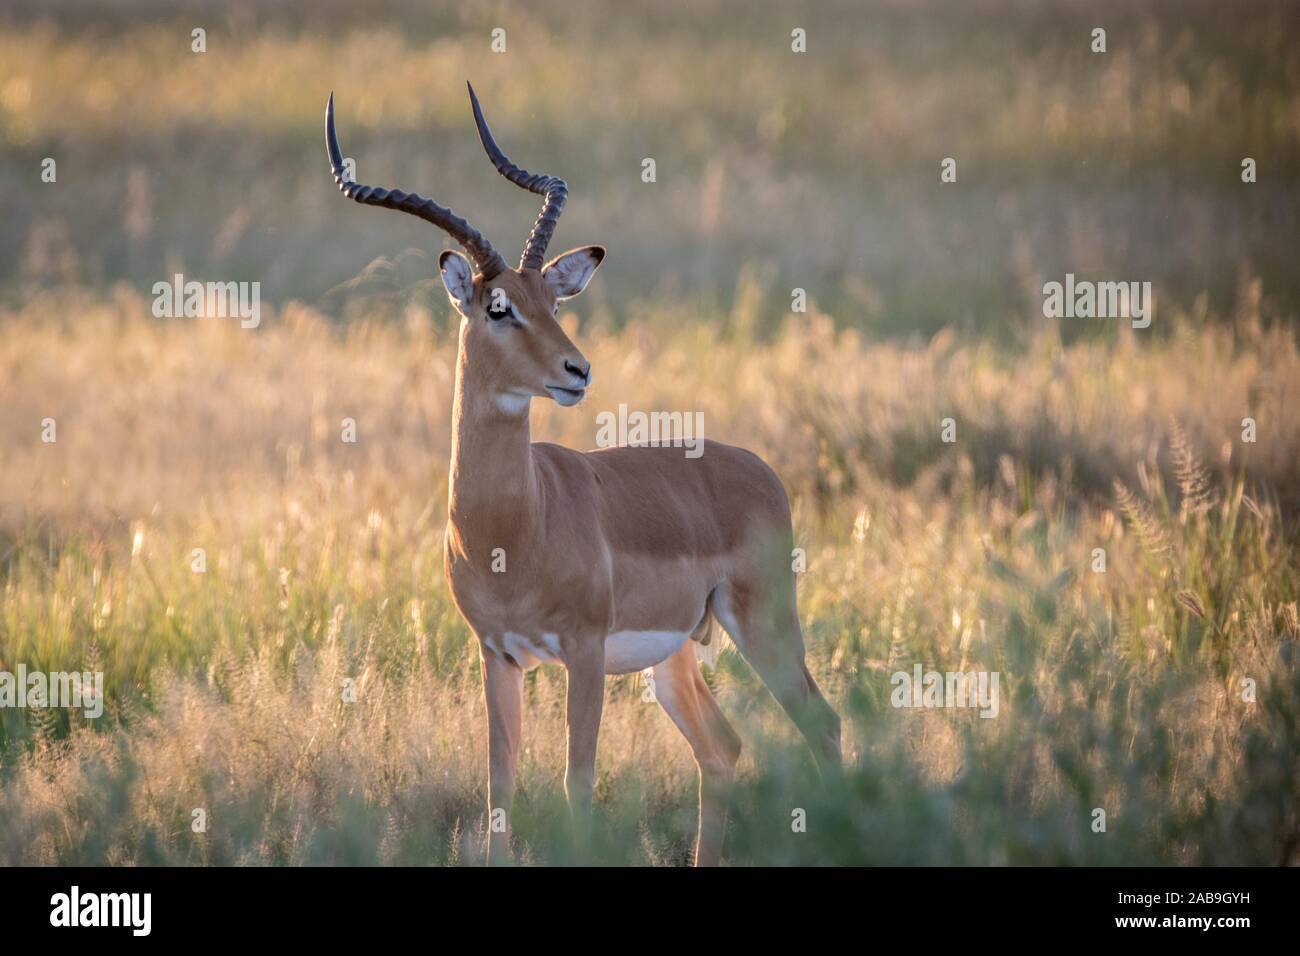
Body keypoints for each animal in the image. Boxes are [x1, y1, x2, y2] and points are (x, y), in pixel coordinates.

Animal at [325, 84, 841, 866]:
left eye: (554, 300)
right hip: (676, 659)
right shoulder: (498, 655)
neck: (512, 531)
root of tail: (758, 468)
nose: (578, 370)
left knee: (823, 725)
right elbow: (500, 788)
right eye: (499, 306)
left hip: (764, 625)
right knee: (722, 748)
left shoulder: (586, 652)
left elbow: (578, 786)